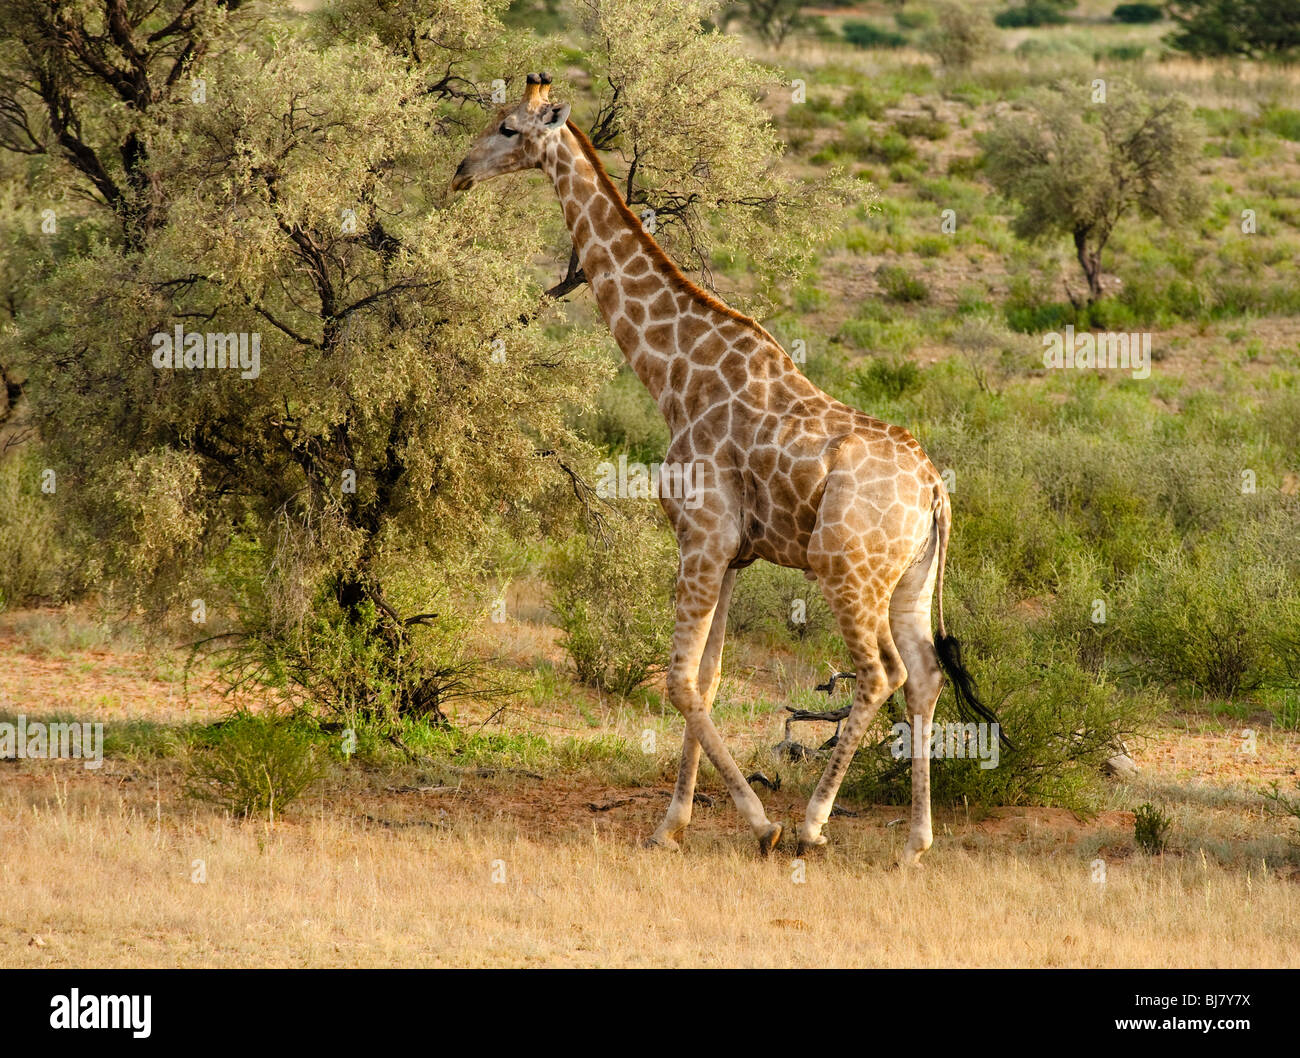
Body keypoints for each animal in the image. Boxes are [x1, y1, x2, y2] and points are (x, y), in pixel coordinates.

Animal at [452, 73, 991, 865]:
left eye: (509, 129)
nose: (461, 171)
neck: (675, 375)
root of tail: (933, 492)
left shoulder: (701, 537)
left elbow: (678, 681)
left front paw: (758, 824)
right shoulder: (733, 553)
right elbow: (705, 679)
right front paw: (669, 825)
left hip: (846, 568)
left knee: (881, 674)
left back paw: (811, 825)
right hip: (910, 578)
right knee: (923, 678)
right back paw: (915, 842)